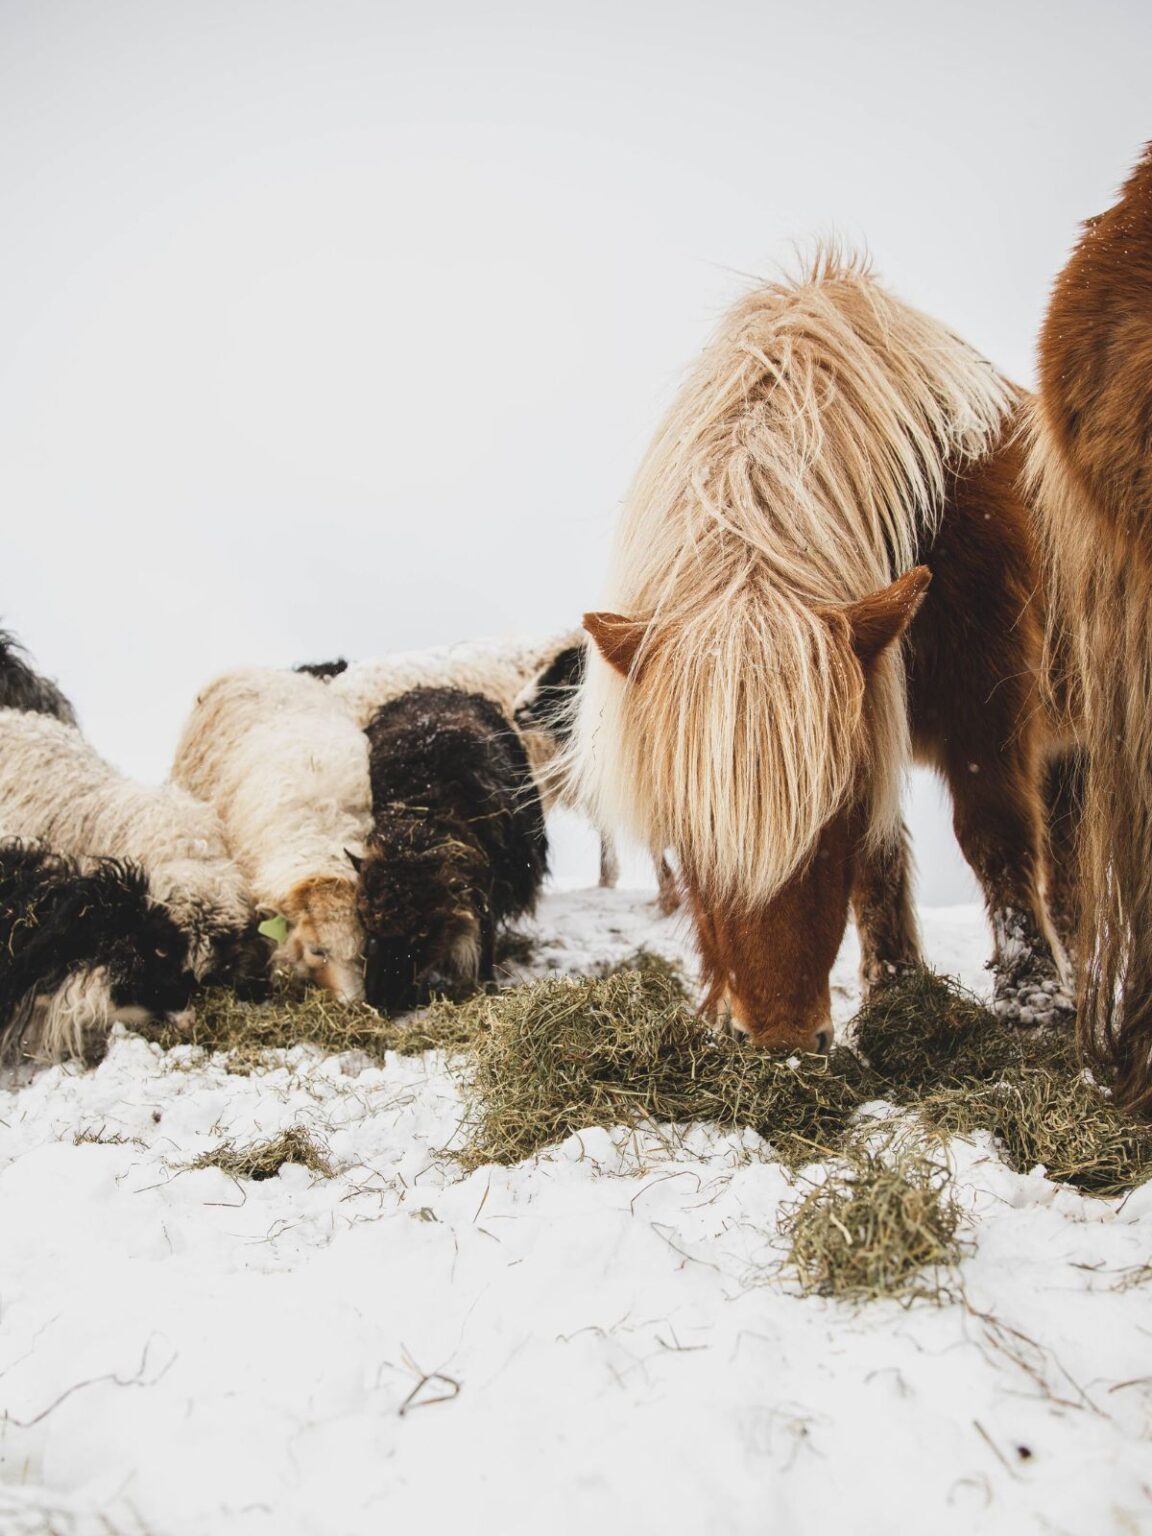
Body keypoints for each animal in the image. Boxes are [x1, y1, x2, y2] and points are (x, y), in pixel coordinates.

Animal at [356, 687, 548, 1012]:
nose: (382, 1002)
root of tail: (437, 689)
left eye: (422, 931)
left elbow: (486, 938)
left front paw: (486, 985)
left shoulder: (489, 888)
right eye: (366, 926)